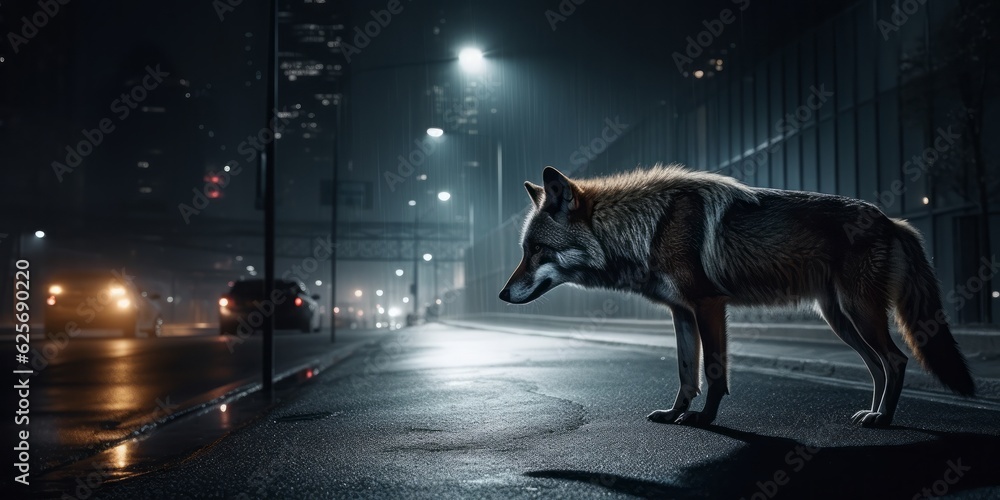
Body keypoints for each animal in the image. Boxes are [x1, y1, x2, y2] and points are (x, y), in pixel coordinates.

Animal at [499, 164, 975, 428]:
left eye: (536, 250)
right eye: (523, 250)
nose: (502, 294)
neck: (648, 226)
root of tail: (894, 221)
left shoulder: (709, 306)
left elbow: (714, 374)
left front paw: (706, 420)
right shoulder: (681, 312)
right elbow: (685, 373)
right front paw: (675, 415)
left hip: (859, 315)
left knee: (896, 360)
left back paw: (883, 419)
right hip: (841, 320)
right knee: (879, 367)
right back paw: (871, 413)